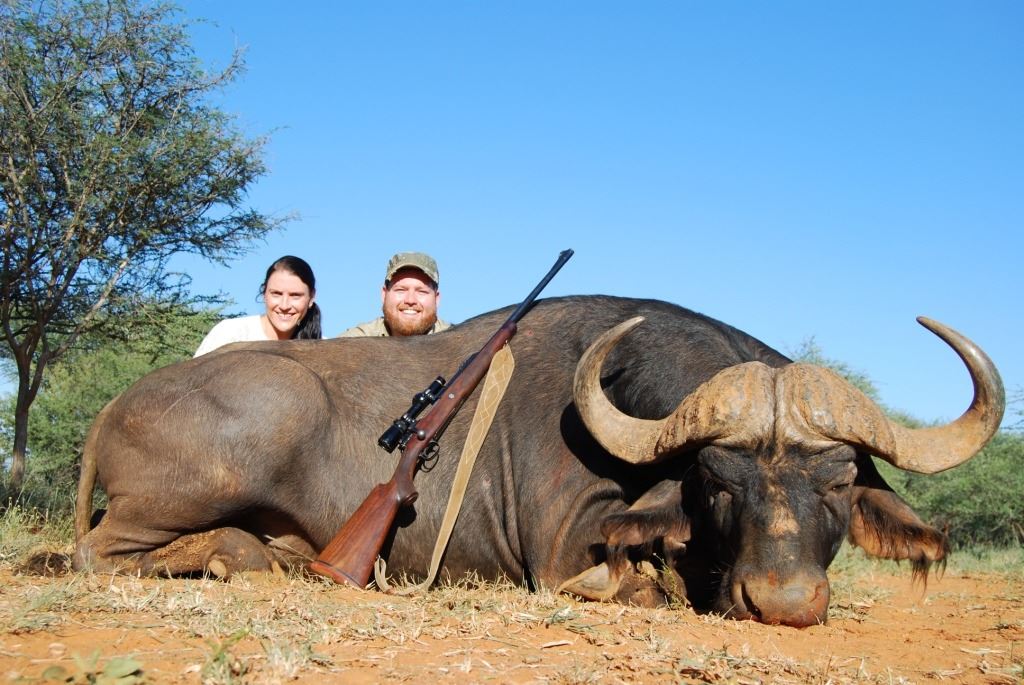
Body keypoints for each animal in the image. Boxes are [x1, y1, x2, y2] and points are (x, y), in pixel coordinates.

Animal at [74, 295, 1003, 627]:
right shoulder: (566, 547)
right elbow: (628, 579)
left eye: (840, 482)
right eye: (714, 480)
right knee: (101, 552)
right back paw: (238, 557)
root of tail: (114, 408)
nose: (781, 602)